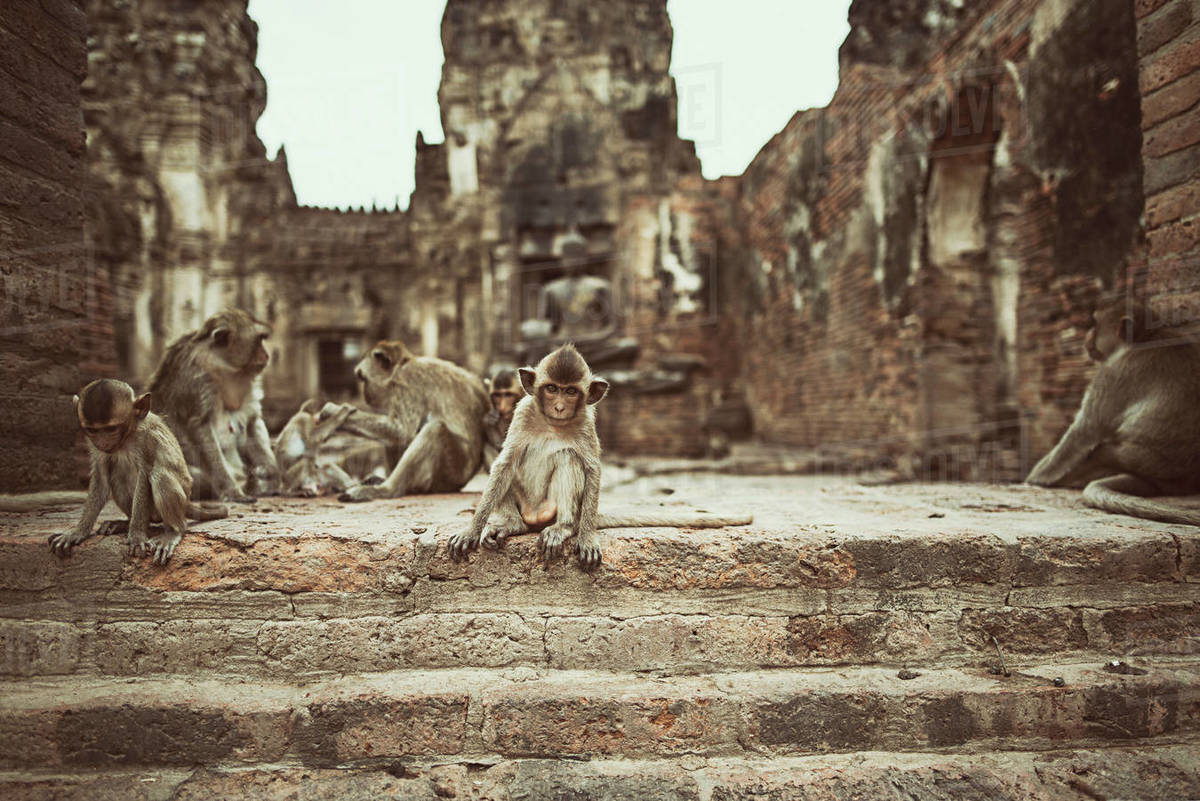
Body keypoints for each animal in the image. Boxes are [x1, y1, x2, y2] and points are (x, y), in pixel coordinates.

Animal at [48, 379, 228, 564]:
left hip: (175, 500)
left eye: (111, 429)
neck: (127, 436)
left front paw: (136, 536)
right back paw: (125, 523)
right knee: (117, 476)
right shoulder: (95, 445)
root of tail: (187, 502)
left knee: (160, 475)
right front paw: (78, 532)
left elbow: (144, 476)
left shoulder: (146, 439)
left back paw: (173, 531)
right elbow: (101, 478)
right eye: (93, 430)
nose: (103, 442)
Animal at [147, 309, 279, 503]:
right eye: (259, 340)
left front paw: (271, 474)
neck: (224, 366)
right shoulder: (197, 381)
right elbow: (200, 427)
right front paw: (231, 490)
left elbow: (251, 421)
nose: (266, 355)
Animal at [321, 339, 491, 501]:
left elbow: (401, 431)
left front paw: (334, 413)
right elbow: (397, 434)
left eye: (363, 378)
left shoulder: (407, 382)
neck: (404, 363)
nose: (365, 394)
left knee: (434, 430)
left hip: (450, 473)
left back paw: (385, 490)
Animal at [448, 344, 752, 568]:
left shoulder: (586, 422)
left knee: (568, 459)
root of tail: (536, 517)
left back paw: (565, 527)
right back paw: (512, 524)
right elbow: (505, 463)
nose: (559, 407)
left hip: (558, 509)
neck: (552, 424)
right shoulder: (522, 412)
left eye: (571, 391)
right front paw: (471, 530)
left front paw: (587, 538)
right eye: (552, 388)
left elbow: (592, 469)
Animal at [1026, 296, 1200, 526]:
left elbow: (1084, 430)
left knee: (1099, 451)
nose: (1088, 335)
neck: (1143, 338)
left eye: (1095, 324)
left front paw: (1036, 477)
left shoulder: (1112, 372)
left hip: (1125, 457)